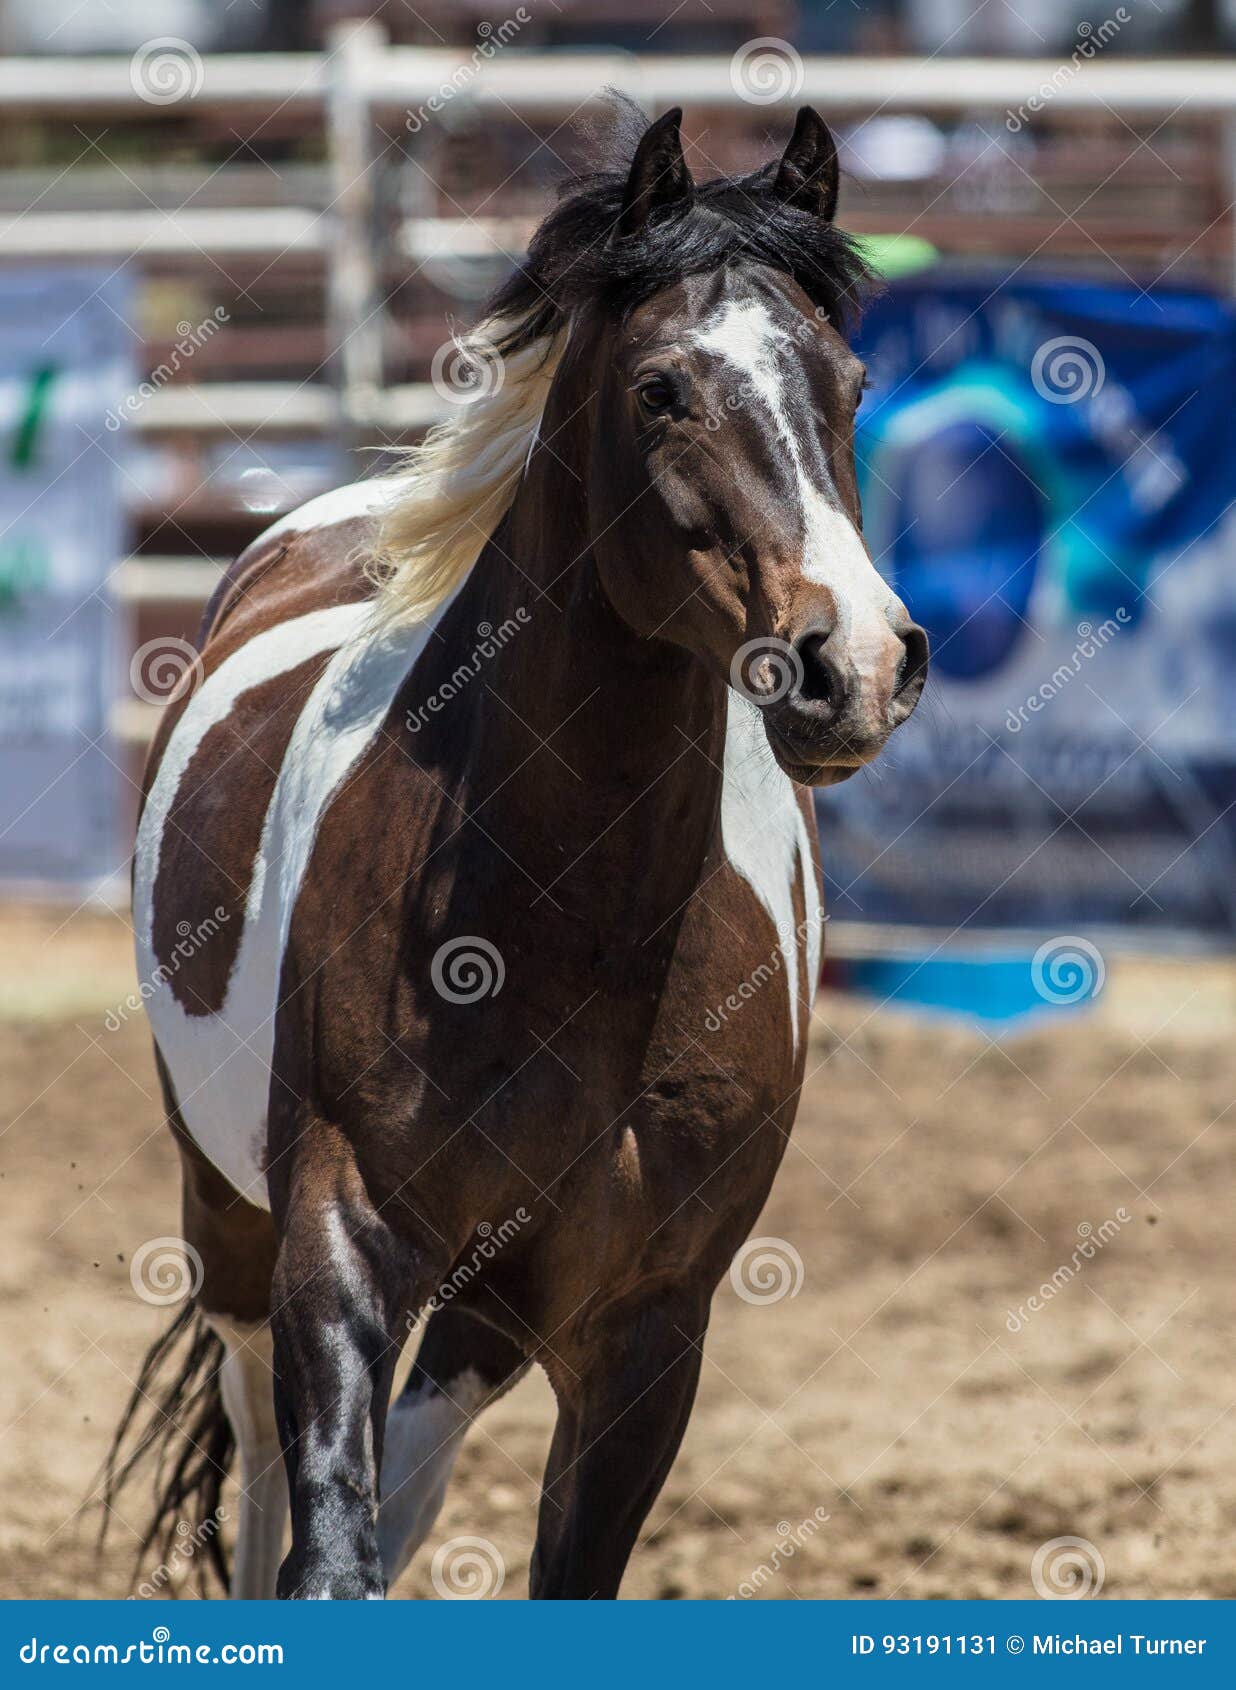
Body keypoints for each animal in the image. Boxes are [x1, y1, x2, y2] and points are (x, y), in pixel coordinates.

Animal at [105, 100, 928, 1600]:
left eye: (846, 383)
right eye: (662, 389)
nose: (854, 664)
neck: (569, 925)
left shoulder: (646, 1320)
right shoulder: (340, 1246)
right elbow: (330, 1549)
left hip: (495, 1302)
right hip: (230, 1224)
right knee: (264, 1470)